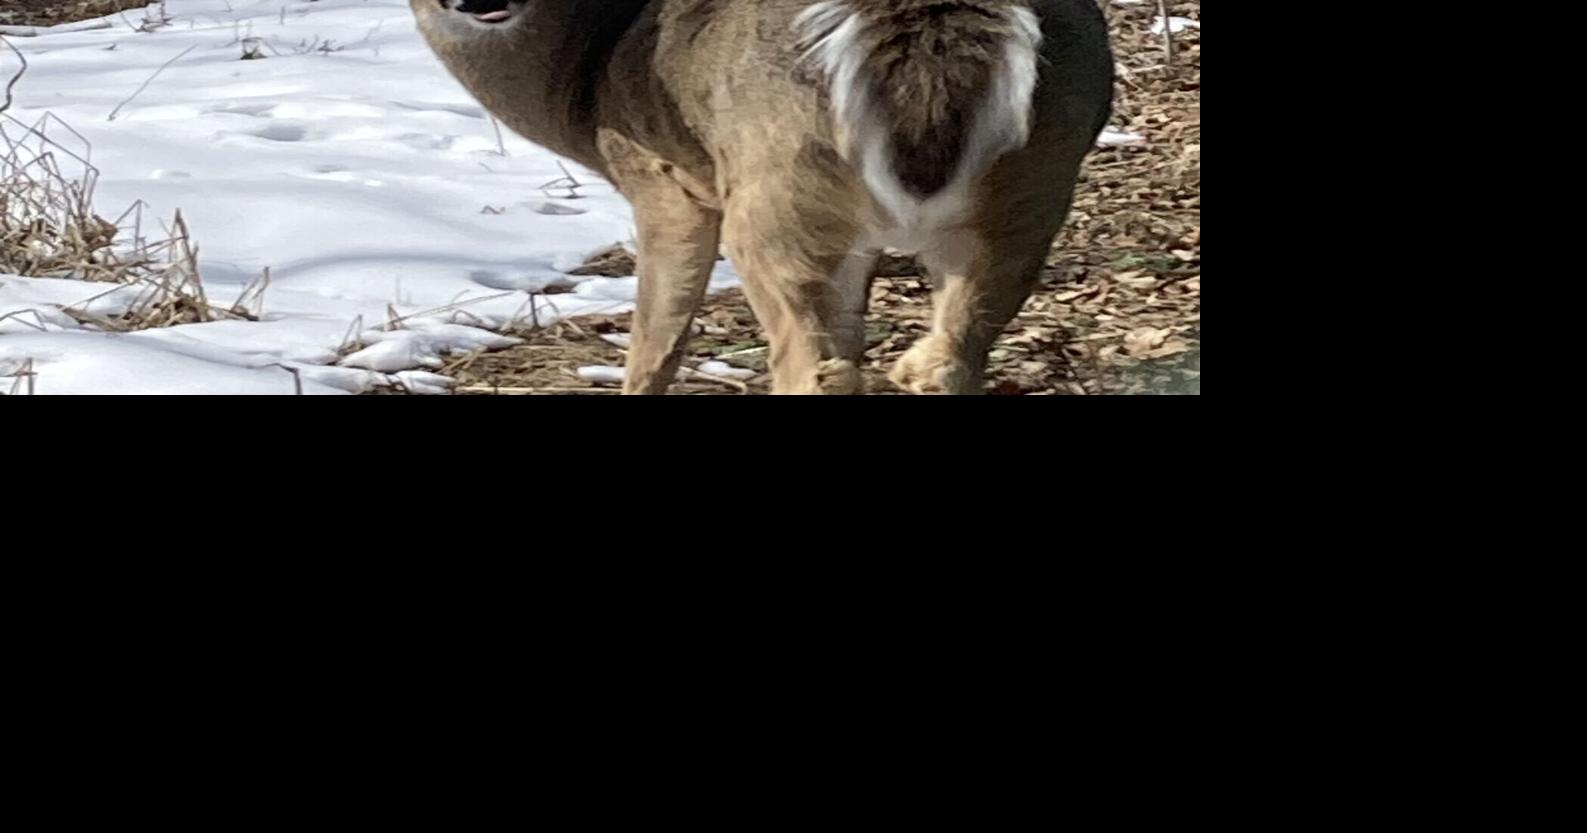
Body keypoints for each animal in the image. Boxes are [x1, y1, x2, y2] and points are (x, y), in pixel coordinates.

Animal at [411, 0, 1112, 394]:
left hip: (771, 193)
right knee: (945, 360)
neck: (588, 72)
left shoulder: (666, 181)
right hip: (1035, 186)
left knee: (812, 368)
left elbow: (653, 346)